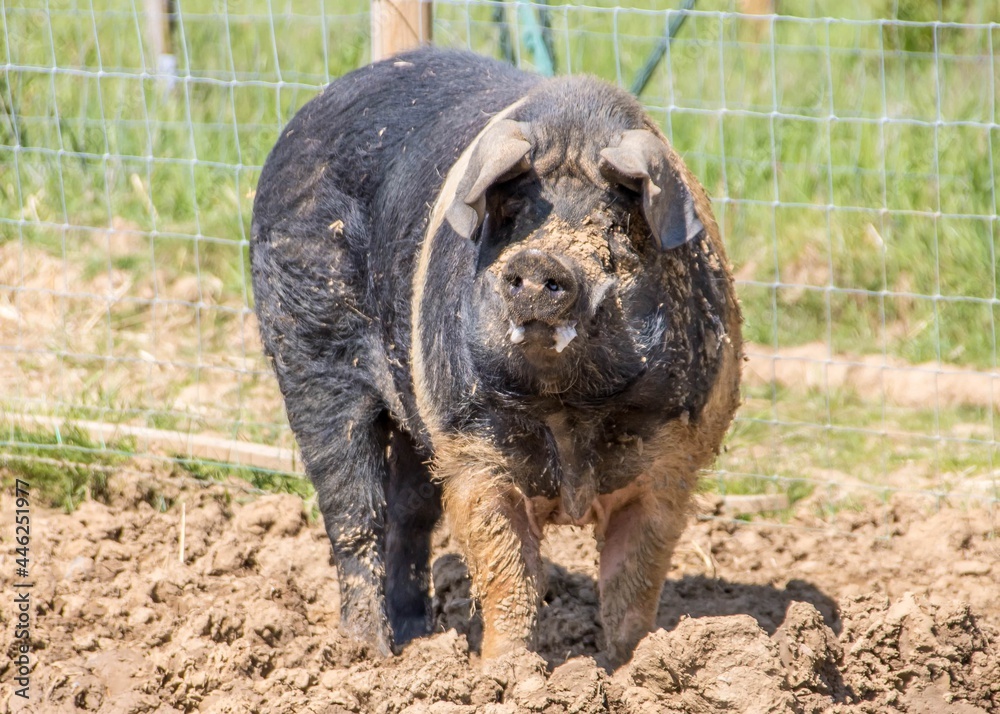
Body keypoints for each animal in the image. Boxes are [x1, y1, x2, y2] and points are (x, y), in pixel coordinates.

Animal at [250, 47, 742, 666]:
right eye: (511, 216)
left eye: (614, 231)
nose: (538, 261)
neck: (567, 409)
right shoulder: (470, 447)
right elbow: (509, 576)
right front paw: (506, 671)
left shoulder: (671, 457)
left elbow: (632, 583)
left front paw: (628, 666)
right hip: (308, 351)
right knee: (353, 512)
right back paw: (372, 656)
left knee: (408, 515)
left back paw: (418, 639)